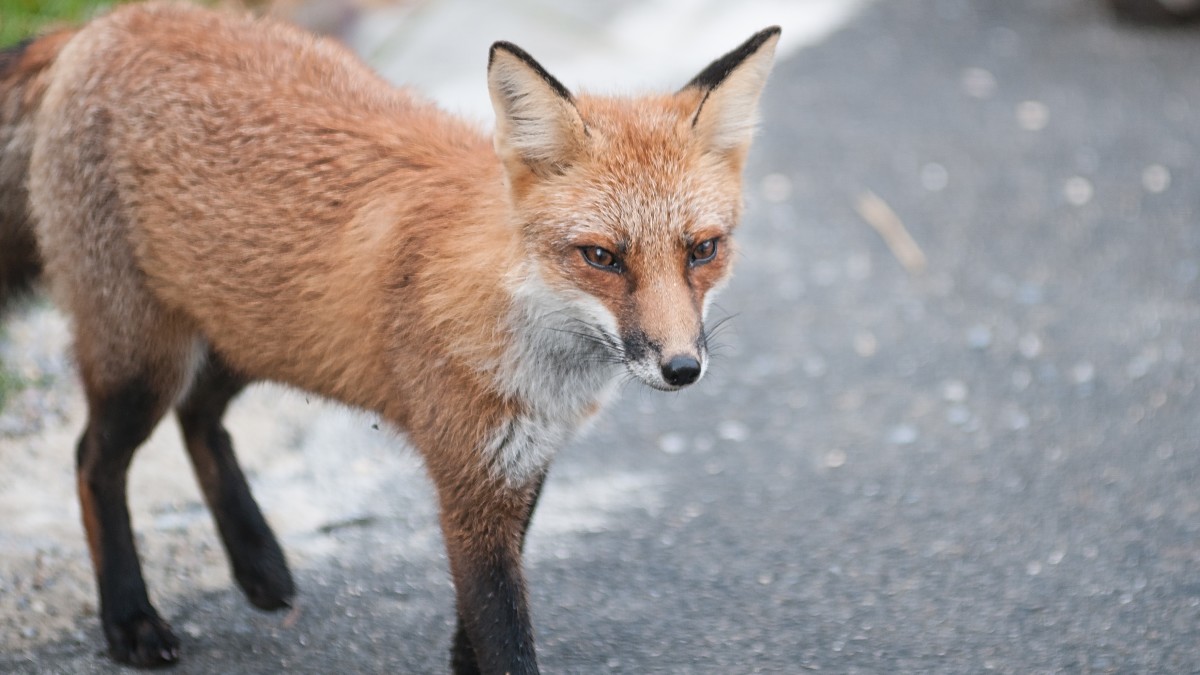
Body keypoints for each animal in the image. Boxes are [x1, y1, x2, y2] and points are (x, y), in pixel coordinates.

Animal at [0, 3, 779, 673]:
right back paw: (129, 618)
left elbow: (475, 620)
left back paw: (257, 562)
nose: (681, 368)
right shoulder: (469, 478)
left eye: (702, 250)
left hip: (259, 333)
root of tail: (106, 23)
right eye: (602, 257)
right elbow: (502, 629)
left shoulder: (519, 466)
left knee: (200, 419)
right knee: (93, 459)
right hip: (146, 362)